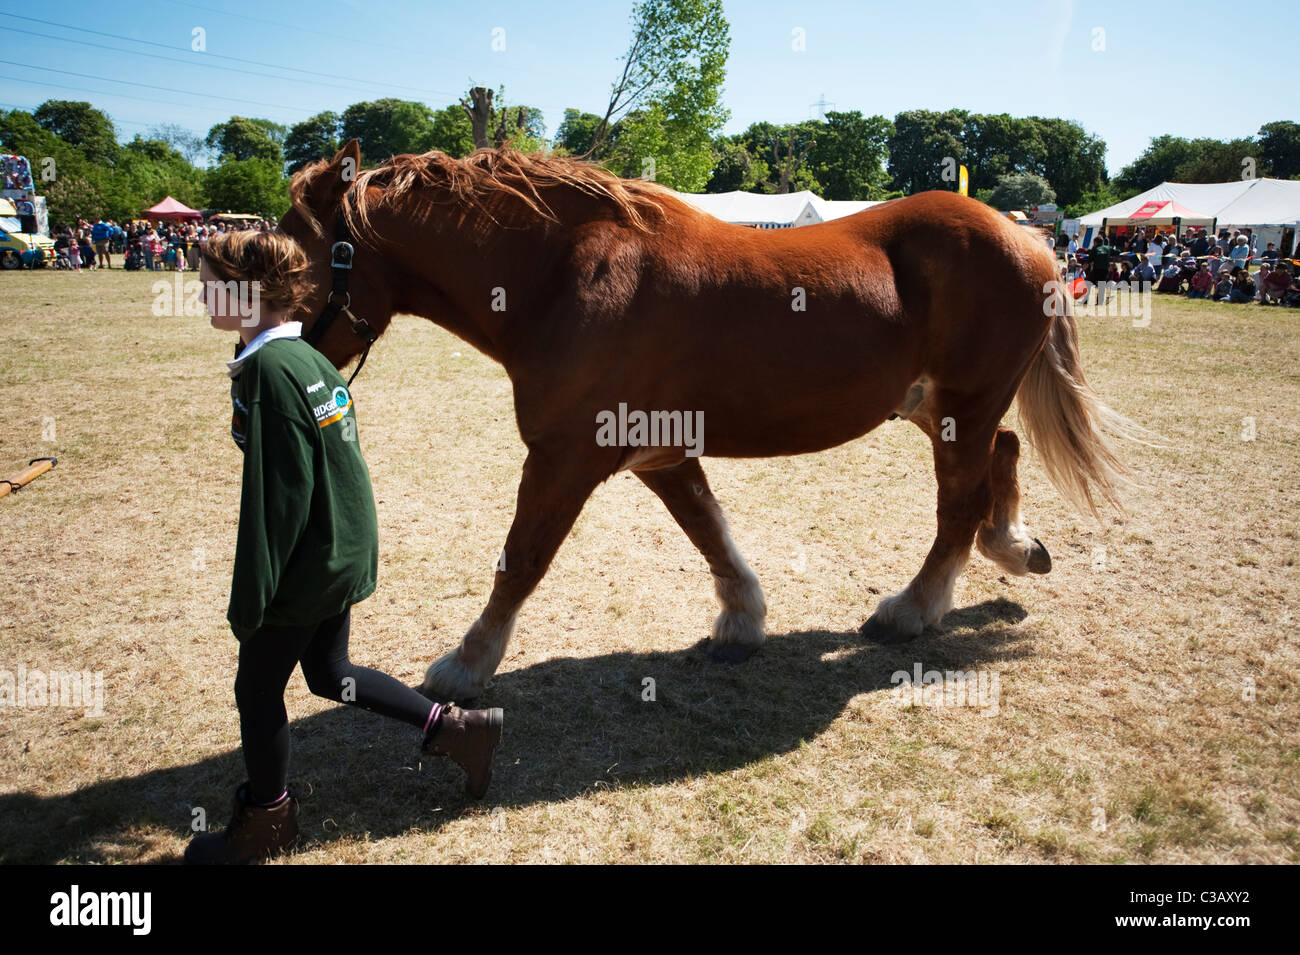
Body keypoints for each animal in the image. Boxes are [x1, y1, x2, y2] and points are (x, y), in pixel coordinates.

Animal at [278, 139, 1143, 702]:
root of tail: (1028, 237)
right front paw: (743, 620)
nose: (272, 371)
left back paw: (912, 608)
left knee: (958, 506)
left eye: (287, 261)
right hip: (935, 406)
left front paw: (465, 664)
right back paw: (1015, 546)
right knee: (1004, 451)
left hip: (960, 406)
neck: (563, 275)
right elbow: (710, 531)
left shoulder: (564, 457)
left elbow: (521, 559)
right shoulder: (656, 451)